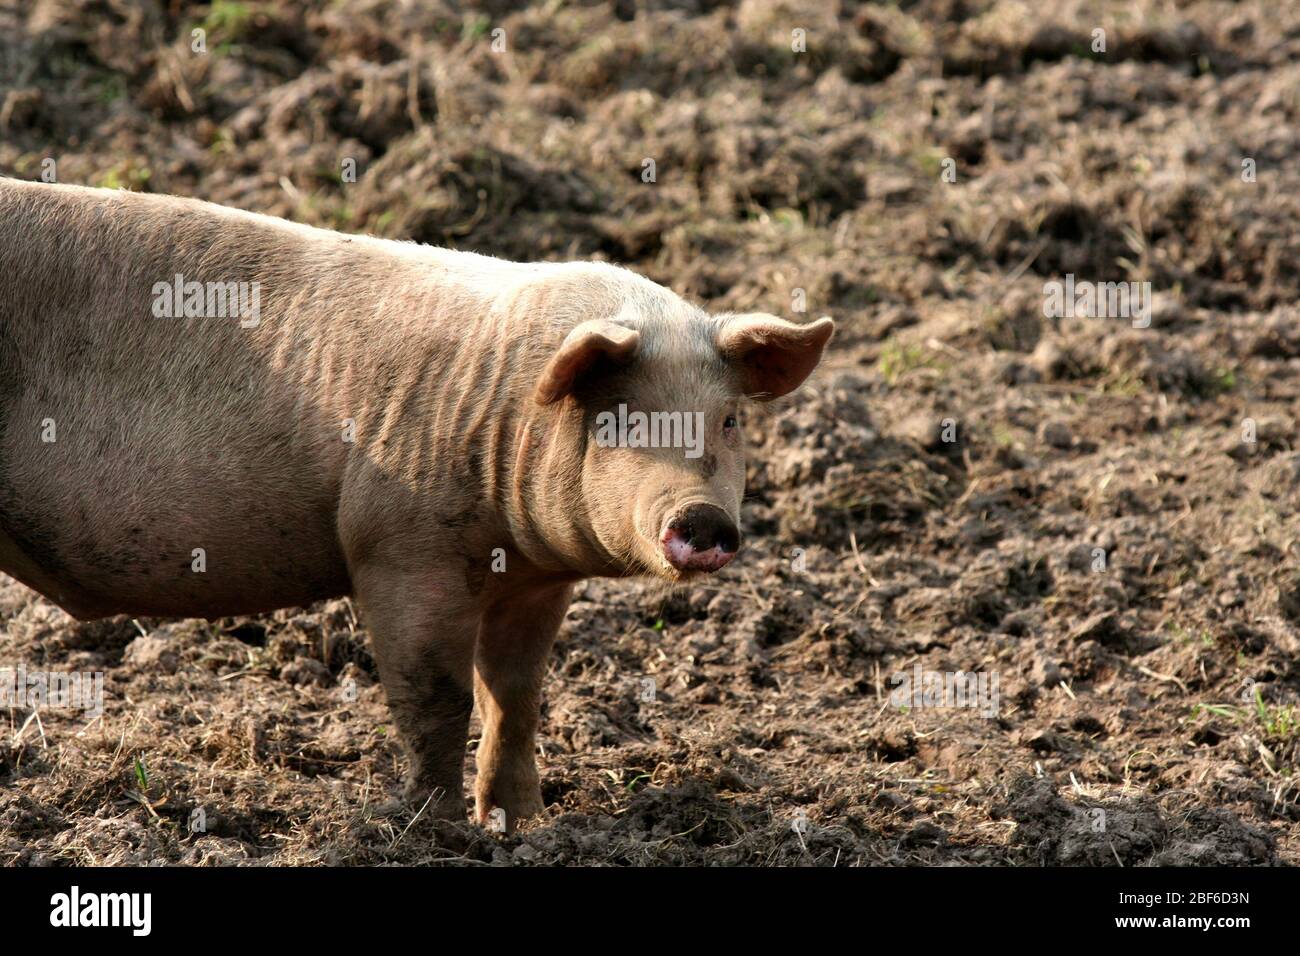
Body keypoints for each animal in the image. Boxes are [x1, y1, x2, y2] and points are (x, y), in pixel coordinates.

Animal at [0, 177, 833, 830]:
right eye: (623, 417)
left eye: (728, 420)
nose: (702, 519)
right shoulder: (398, 548)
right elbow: (437, 697)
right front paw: (435, 828)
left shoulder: (537, 584)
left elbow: (517, 697)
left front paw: (525, 826)